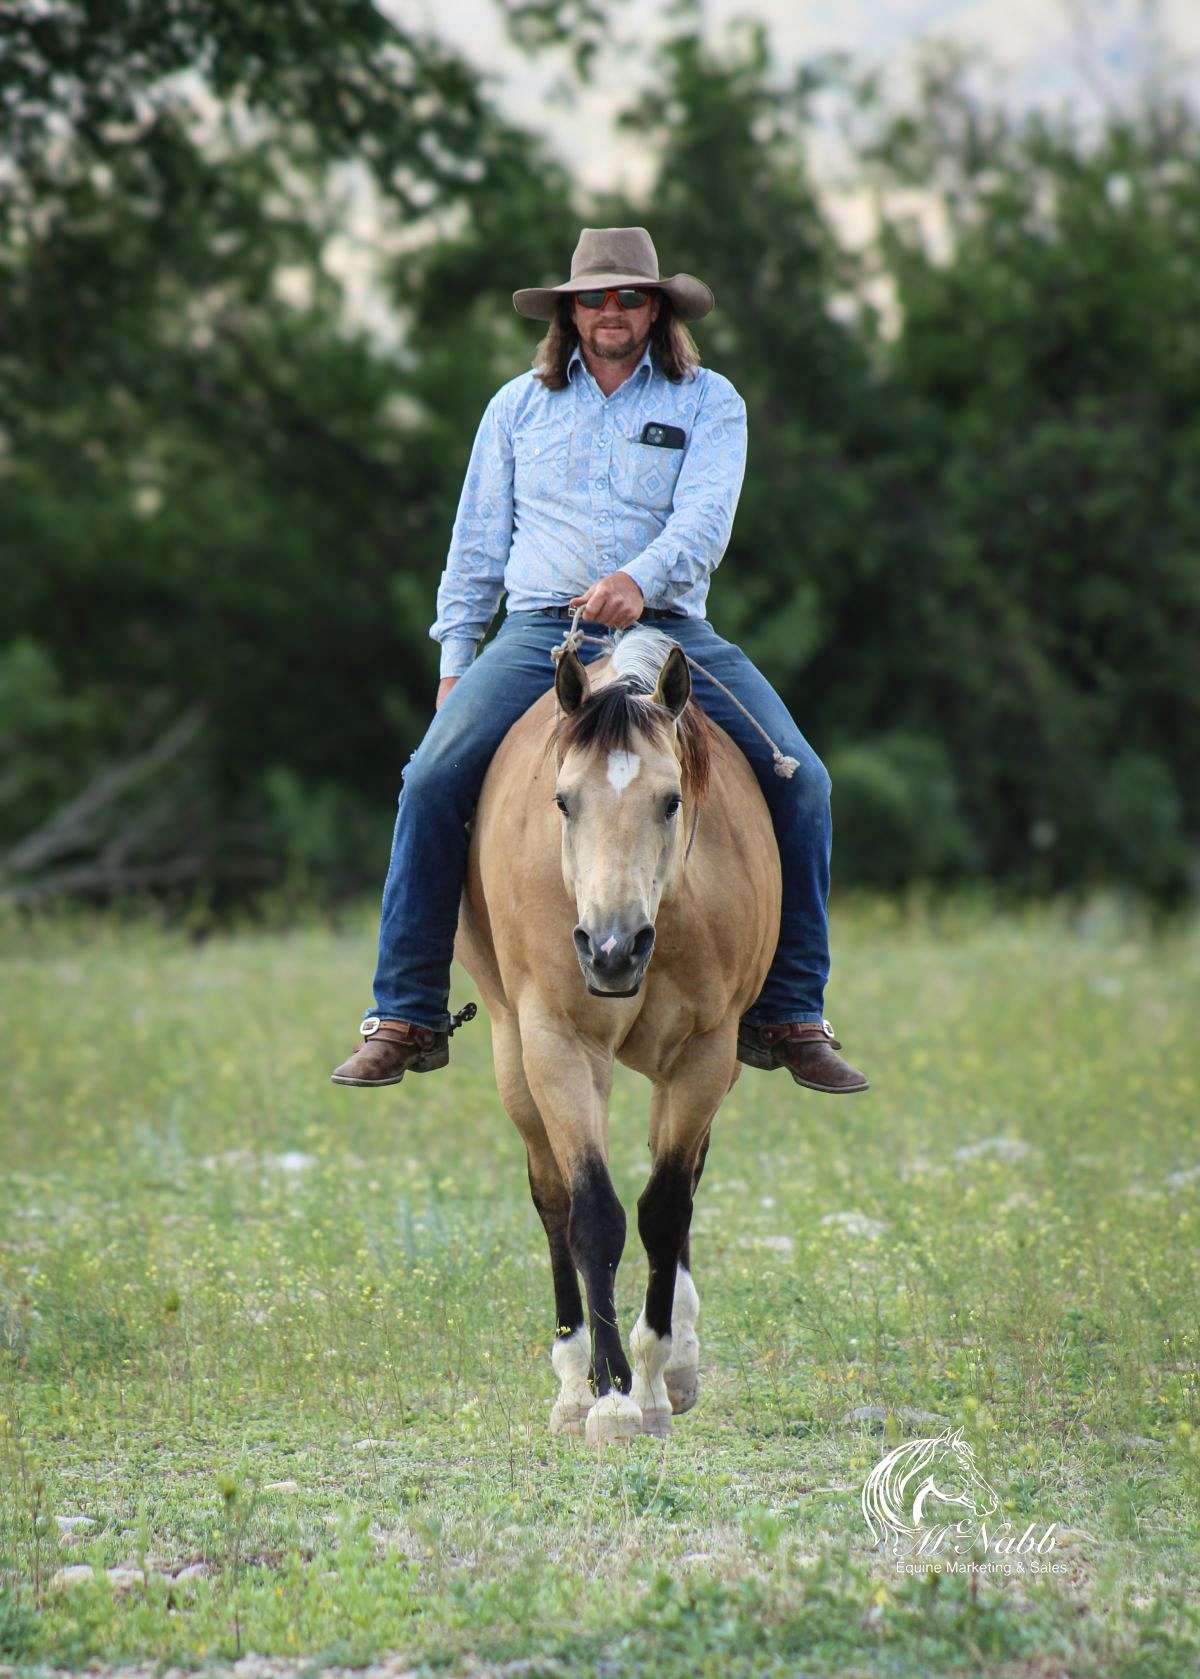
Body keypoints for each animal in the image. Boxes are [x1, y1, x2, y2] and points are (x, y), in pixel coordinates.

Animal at [454, 625, 781, 1445]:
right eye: (563, 801)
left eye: (671, 801)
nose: (611, 950)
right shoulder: (558, 1043)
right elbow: (593, 1213)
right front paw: (610, 1397)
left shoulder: (706, 1053)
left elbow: (666, 1207)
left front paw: (658, 1377)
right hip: (513, 1053)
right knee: (552, 1201)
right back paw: (573, 1383)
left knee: (684, 1183)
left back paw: (678, 1368)